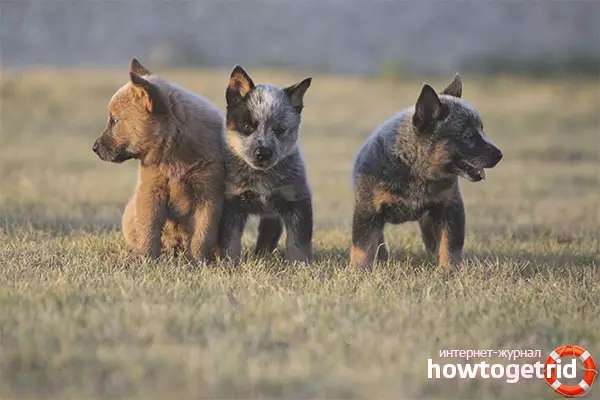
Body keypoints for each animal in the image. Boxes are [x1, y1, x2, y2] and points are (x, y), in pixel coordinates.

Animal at [92, 57, 226, 260]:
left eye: (114, 120)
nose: (94, 148)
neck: (175, 156)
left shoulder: (209, 193)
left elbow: (202, 232)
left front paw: (197, 260)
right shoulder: (151, 188)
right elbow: (149, 226)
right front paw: (145, 258)